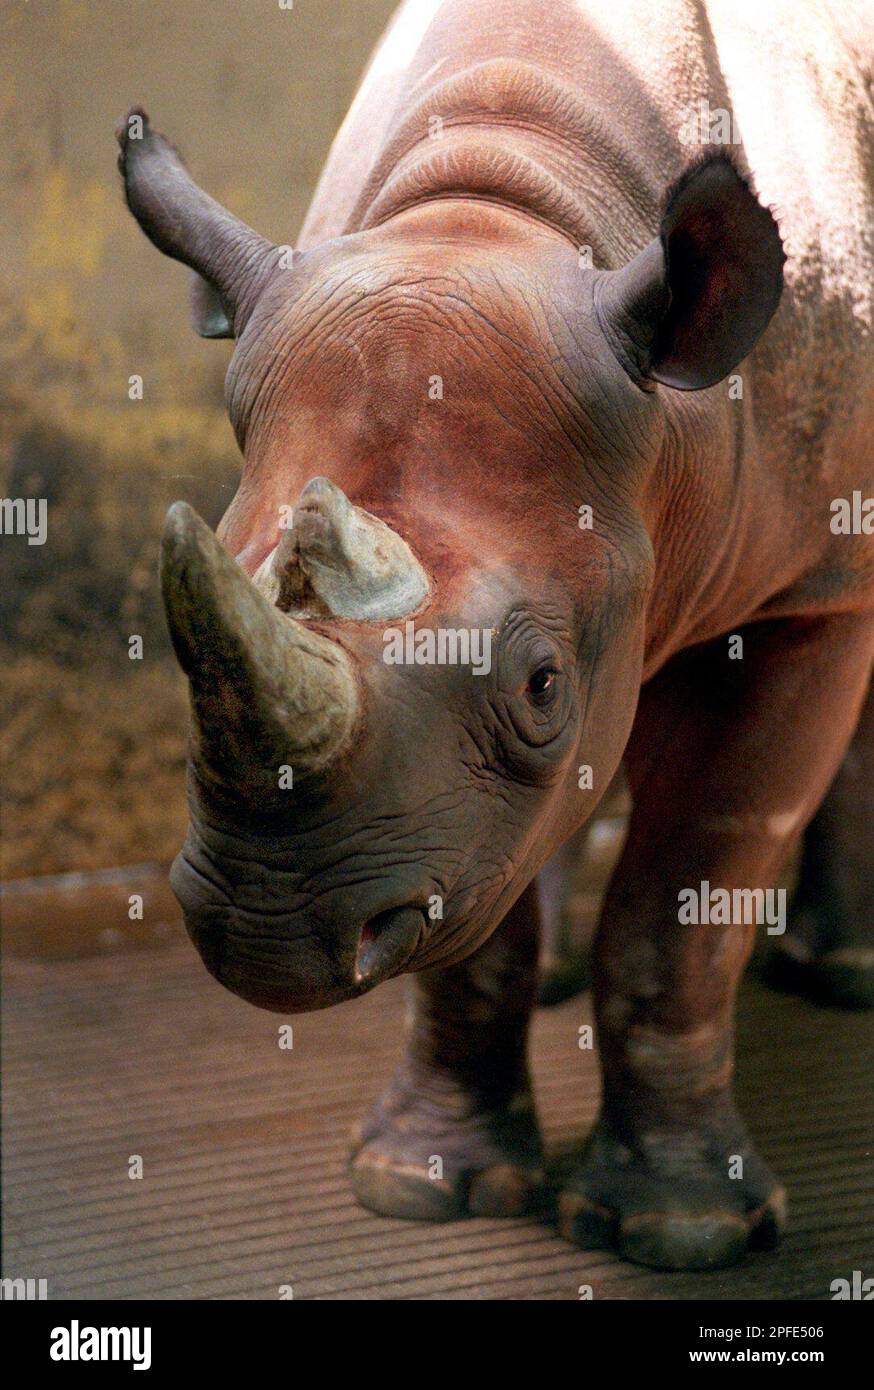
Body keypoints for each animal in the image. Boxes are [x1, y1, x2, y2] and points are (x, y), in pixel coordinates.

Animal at [117, 0, 874, 1271]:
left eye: (540, 686)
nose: (264, 930)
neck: (504, 208)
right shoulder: (438, 798)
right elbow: (474, 902)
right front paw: (425, 1184)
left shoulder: (801, 588)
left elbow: (686, 893)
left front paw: (681, 1229)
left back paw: (842, 974)